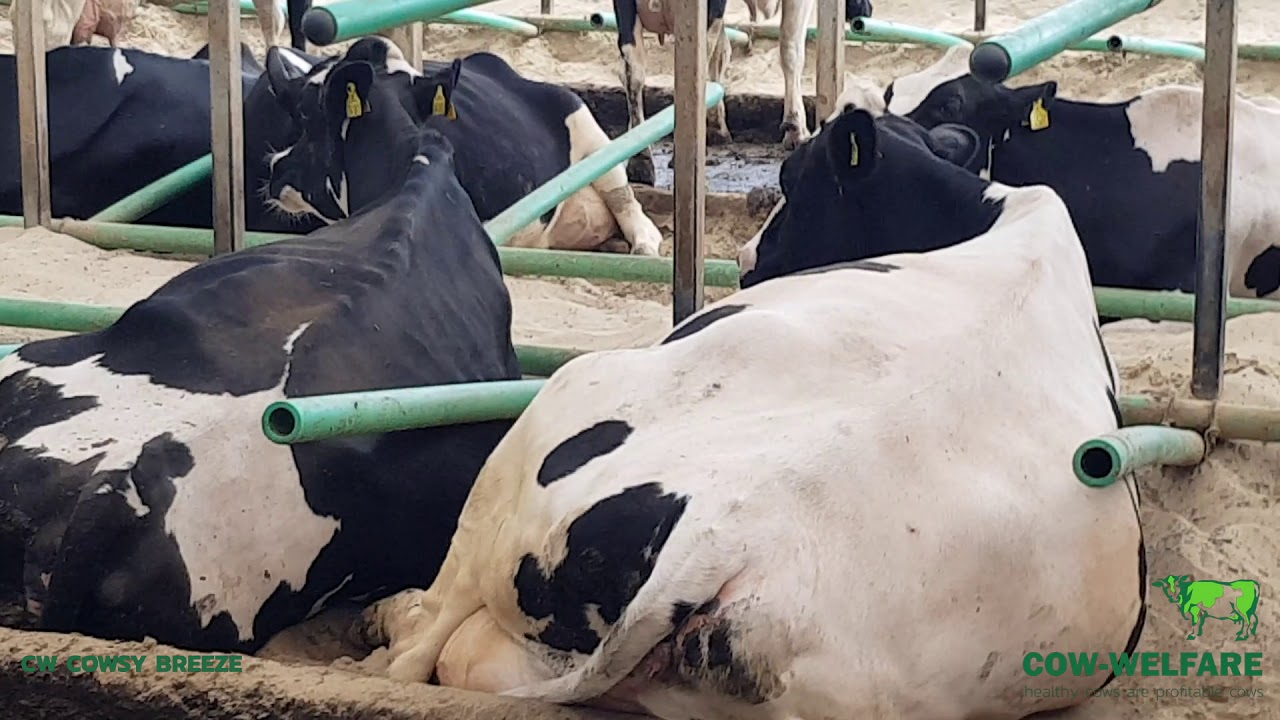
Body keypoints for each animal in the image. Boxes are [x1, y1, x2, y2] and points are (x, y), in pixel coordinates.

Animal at [346, 106, 1146, 720]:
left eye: (796, 181)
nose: (747, 261)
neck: (1008, 220)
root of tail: (725, 534)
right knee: (476, 658)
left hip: (547, 423)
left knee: (431, 638)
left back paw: (385, 622)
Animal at [612, 0, 874, 186]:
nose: (866, 10)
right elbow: (791, 50)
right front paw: (796, 128)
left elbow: (721, 54)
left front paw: (716, 126)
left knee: (635, 72)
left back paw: (641, 161)